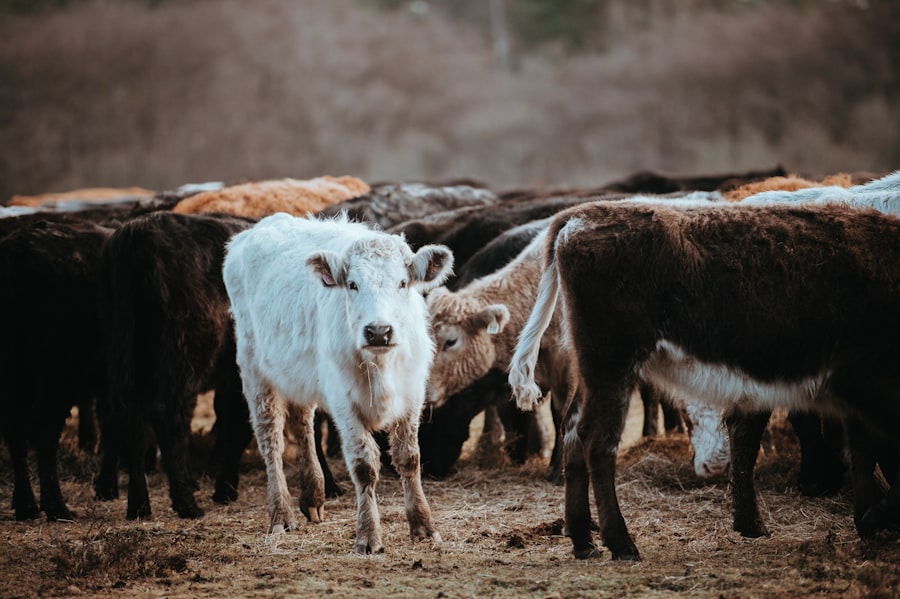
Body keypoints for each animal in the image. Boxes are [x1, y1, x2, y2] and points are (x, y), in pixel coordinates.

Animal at [223, 212, 452, 554]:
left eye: (402, 283)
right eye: (353, 285)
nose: (378, 331)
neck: (380, 366)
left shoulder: (412, 394)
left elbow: (409, 458)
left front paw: (423, 526)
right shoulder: (344, 402)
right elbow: (364, 466)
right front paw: (368, 535)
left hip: (301, 375)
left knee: (302, 425)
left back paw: (313, 496)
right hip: (255, 370)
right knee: (271, 440)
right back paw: (281, 514)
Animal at [509, 200, 900, 561]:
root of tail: (581, 215)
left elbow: (863, 451)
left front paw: (866, 519)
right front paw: (873, 518)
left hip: (592, 372)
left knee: (572, 429)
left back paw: (583, 541)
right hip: (613, 367)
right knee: (598, 441)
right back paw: (621, 544)